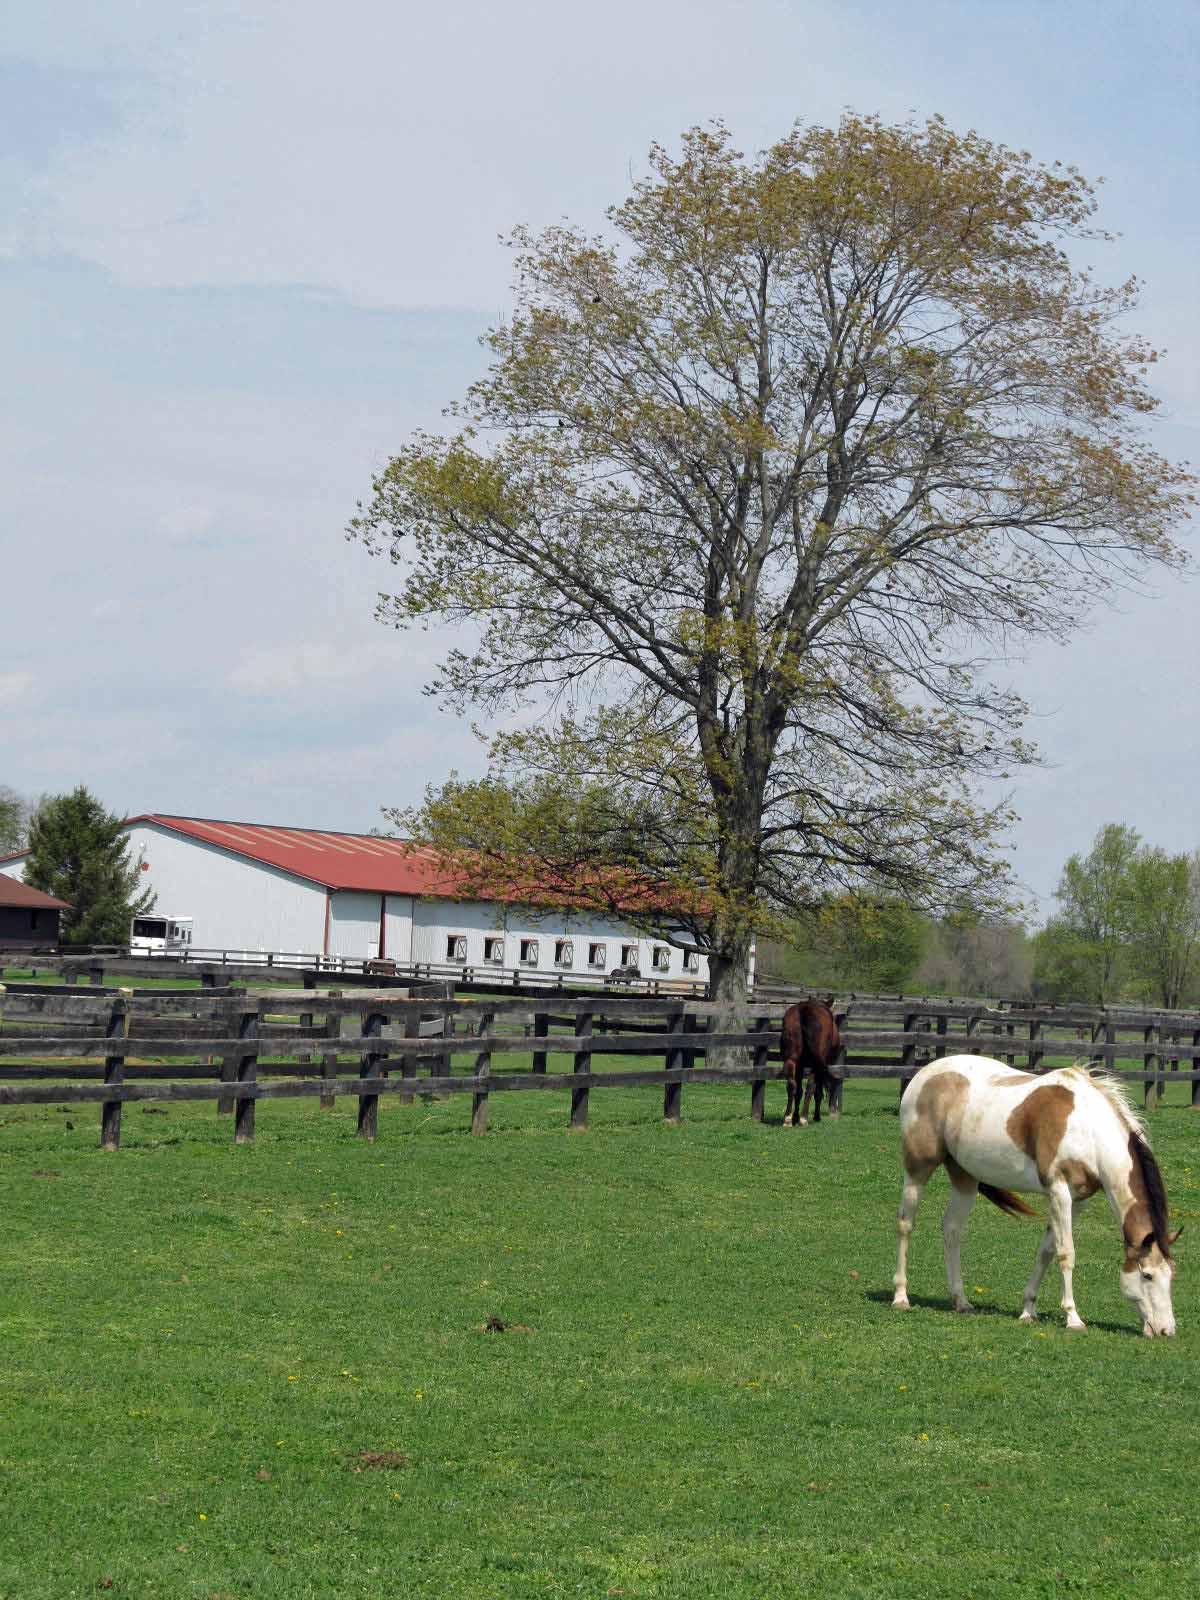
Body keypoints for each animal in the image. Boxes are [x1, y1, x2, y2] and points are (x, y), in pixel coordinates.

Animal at [892, 1055, 1180, 1337]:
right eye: (1147, 1275)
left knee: (952, 1230)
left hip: (964, 1178)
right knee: (906, 1224)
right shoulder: (1058, 1191)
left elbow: (1047, 1251)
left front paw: (1028, 1310)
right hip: (917, 1170)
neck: (1087, 1128)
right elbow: (1066, 1253)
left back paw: (961, 1301)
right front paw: (1073, 1318)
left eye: (1171, 1275)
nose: (1166, 1330)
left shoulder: (1077, 1201)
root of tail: (924, 1074)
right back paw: (901, 1296)